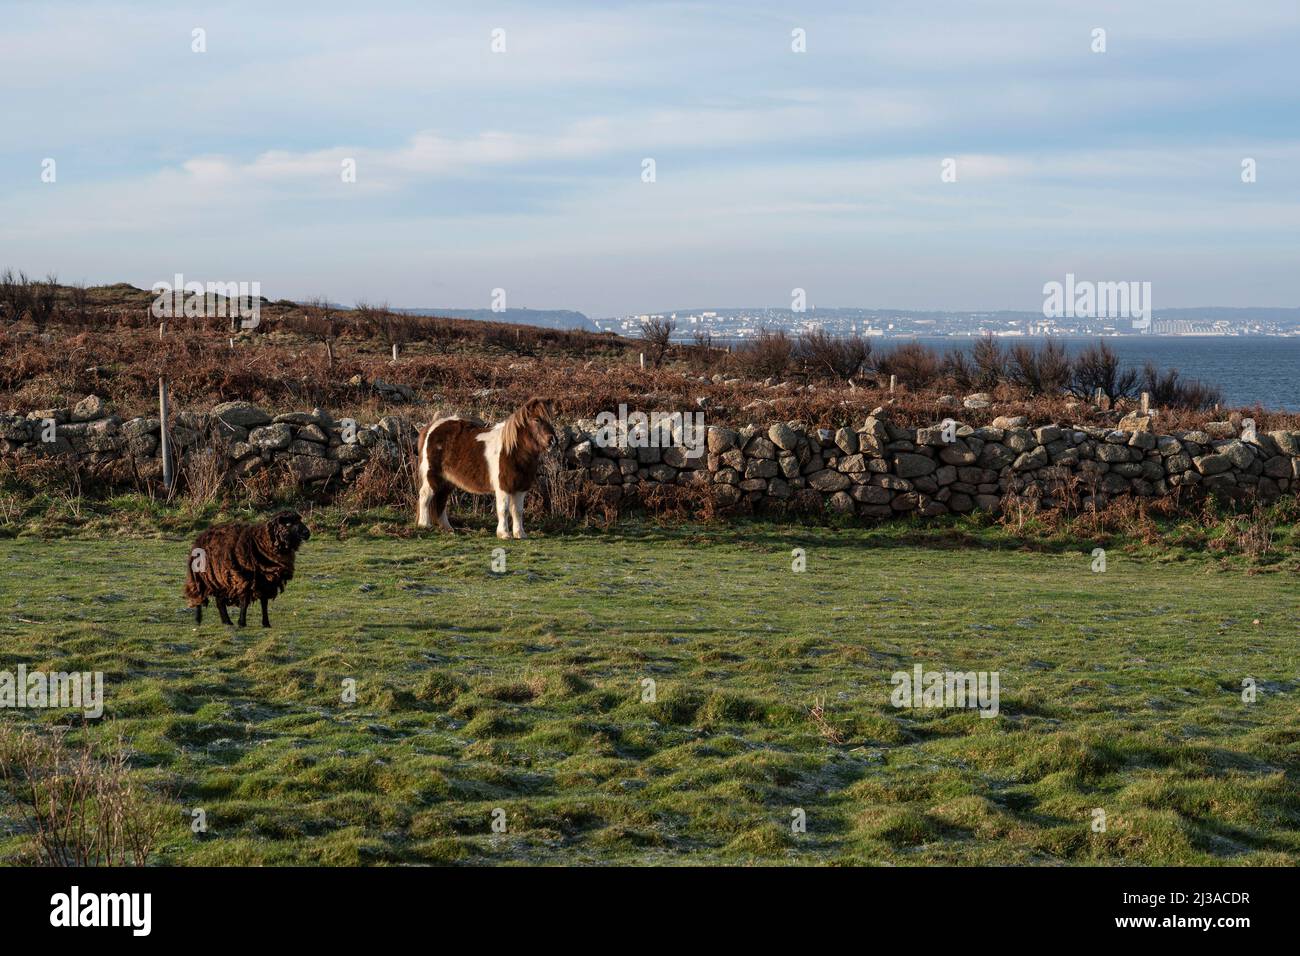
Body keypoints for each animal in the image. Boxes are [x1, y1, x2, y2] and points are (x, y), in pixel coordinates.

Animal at [415, 397, 556, 539]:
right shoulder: (503, 487)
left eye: (551, 419)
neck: (512, 451)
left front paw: (520, 534)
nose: (553, 441)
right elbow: (504, 509)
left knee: (441, 501)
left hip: (447, 481)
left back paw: (448, 528)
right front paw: (504, 534)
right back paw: (424, 525)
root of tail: (432, 427)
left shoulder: (521, 488)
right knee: (425, 495)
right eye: (537, 419)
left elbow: (518, 511)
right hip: (432, 476)